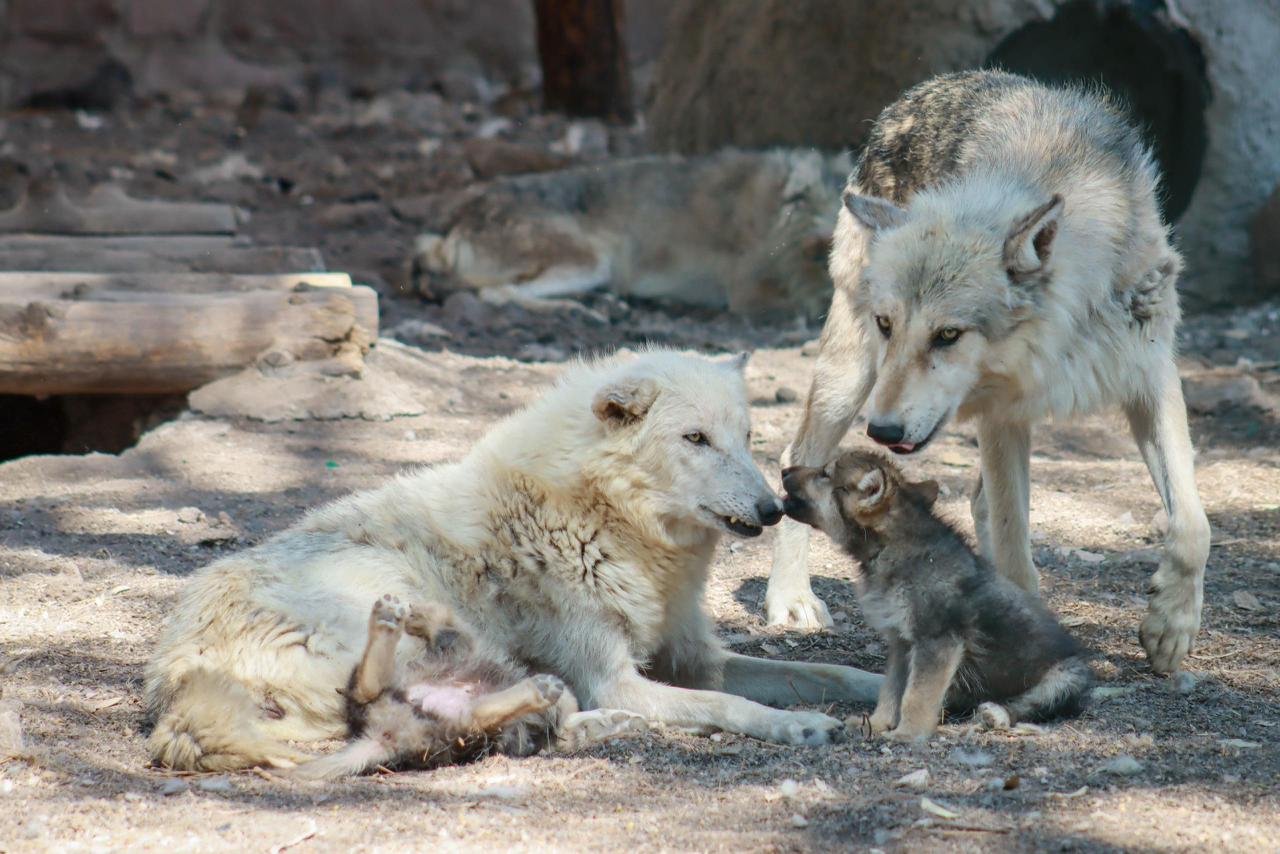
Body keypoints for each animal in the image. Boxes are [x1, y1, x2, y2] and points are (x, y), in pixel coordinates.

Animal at [145, 349, 882, 772]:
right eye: (695, 439)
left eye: (747, 436)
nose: (772, 509)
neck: (603, 517)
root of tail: (176, 680)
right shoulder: (618, 676)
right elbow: (730, 706)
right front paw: (799, 725)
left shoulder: (695, 657)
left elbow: (823, 670)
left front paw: (884, 688)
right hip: (413, 615)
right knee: (416, 709)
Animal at [766, 70, 1211, 676]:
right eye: (888, 324)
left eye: (948, 335)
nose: (882, 431)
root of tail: (923, 90)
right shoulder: (1003, 415)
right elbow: (1014, 543)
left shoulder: (1149, 377)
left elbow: (1192, 523)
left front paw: (1171, 625)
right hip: (849, 378)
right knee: (797, 457)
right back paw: (790, 598)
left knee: (979, 501)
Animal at [782, 451, 1092, 742]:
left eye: (824, 474)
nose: (783, 469)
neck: (892, 547)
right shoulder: (902, 643)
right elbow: (892, 692)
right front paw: (877, 724)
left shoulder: (937, 642)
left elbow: (915, 697)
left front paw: (908, 734)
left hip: (1065, 679)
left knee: (1029, 705)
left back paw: (996, 714)